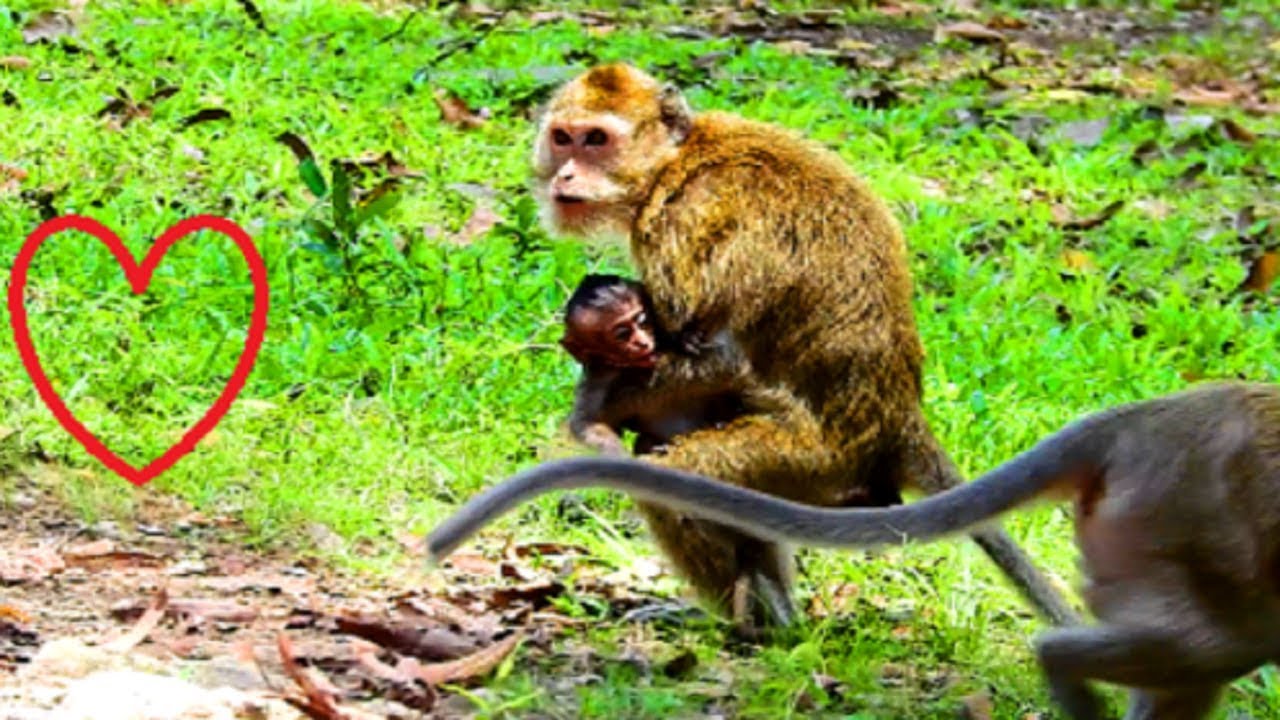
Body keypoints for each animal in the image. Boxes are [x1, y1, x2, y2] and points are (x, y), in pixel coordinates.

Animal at [488, 62, 1079, 627]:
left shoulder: (678, 227)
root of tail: (900, 417)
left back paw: (737, 624)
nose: (565, 173)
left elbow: (715, 354)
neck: (672, 165)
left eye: (596, 140)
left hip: (811, 465)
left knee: (678, 477)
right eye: (563, 138)